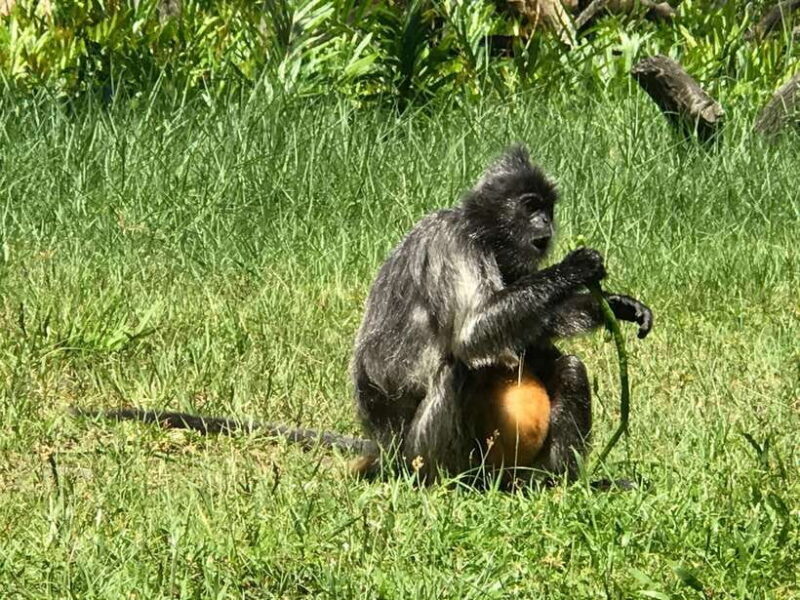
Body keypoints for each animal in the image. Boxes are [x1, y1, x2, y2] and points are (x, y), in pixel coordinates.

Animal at [74, 145, 652, 488]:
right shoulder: (451, 244)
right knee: (459, 370)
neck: (484, 237)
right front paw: (577, 269)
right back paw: (453, 483)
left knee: (565, 366)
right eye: (532, 206)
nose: (546, 229)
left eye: (547, 210)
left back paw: (556, 482)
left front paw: (608, 305)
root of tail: (386, 448)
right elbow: (471, 336)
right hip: (417, 451)